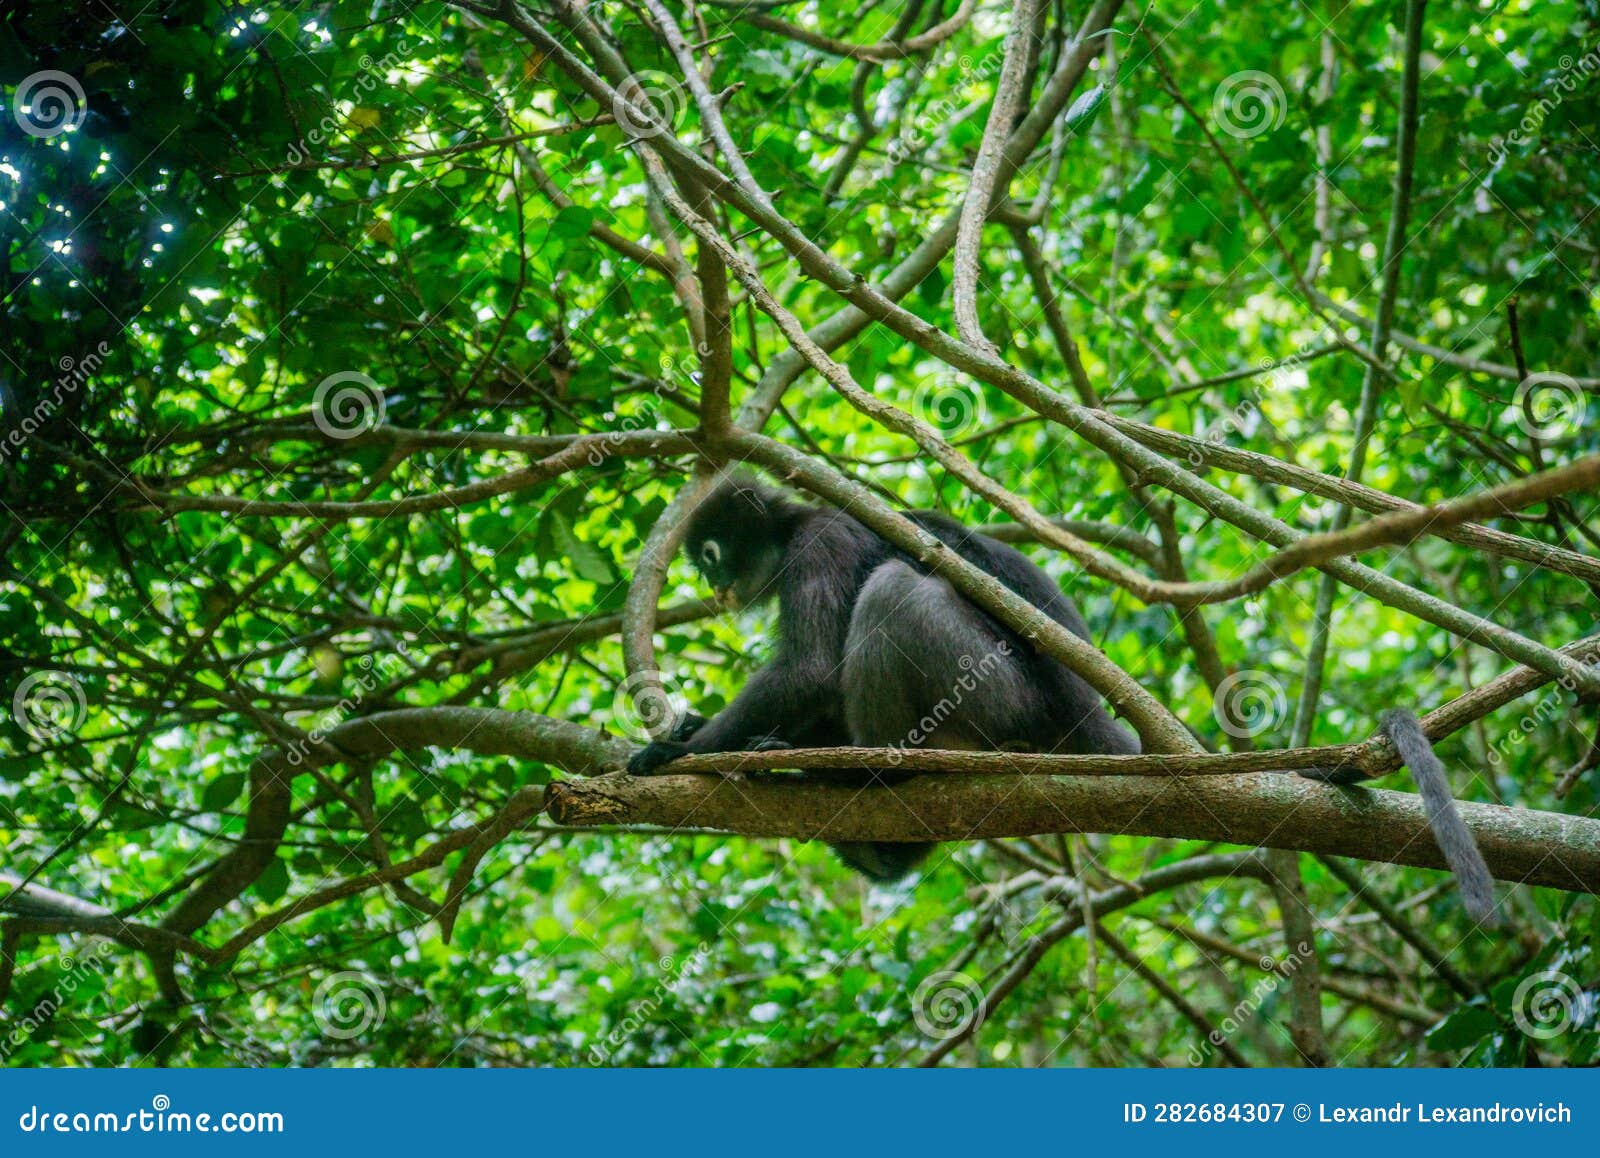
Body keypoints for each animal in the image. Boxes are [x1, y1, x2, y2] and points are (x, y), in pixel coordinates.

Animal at [627, 475, 1139, 880]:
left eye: (710, 555)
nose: (714, 587)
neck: (795, 526)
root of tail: (1084, 713)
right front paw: (694, 728)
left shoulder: (821, 543)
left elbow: (810, 670)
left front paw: (683, 750)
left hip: (1003, 696)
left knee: (892, 588)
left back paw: (870, 776)